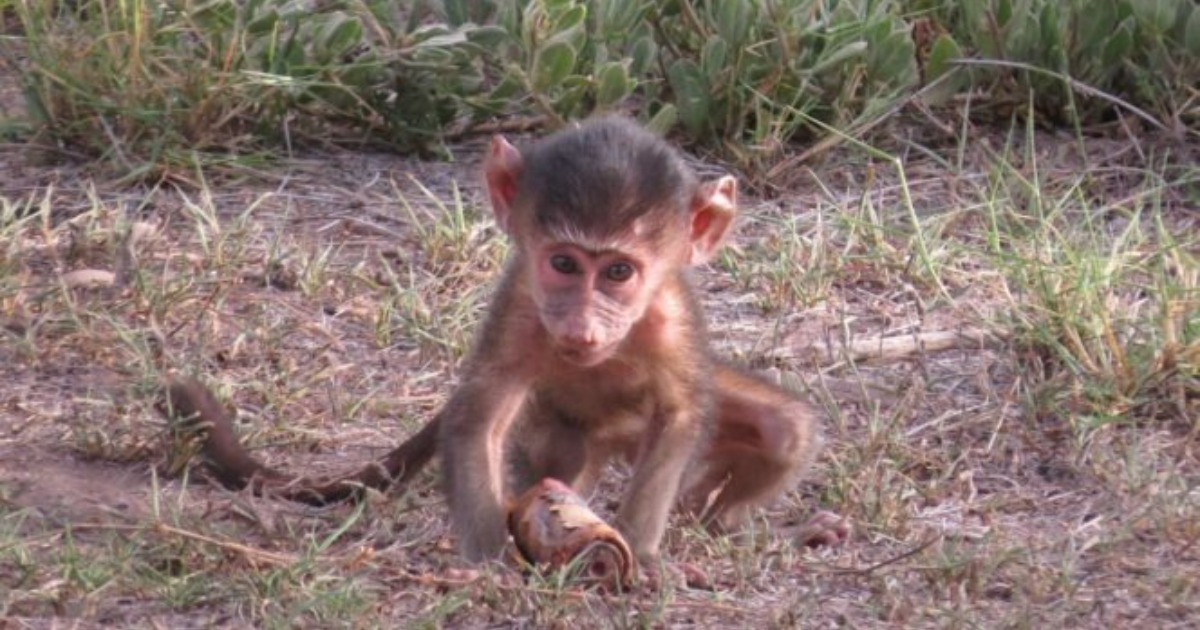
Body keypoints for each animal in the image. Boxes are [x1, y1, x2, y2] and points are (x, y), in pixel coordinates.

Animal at [160, 116, 836, 568]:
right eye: (563, 263)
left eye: (618, 271)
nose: (581, 327)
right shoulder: (519, 310)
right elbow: (480, 417)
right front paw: (491, 567)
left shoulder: (670, 320)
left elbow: (683, 414)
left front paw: (641, 556)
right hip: (562, 435)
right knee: (560, 455)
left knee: (782, 430)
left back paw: (709, 521)